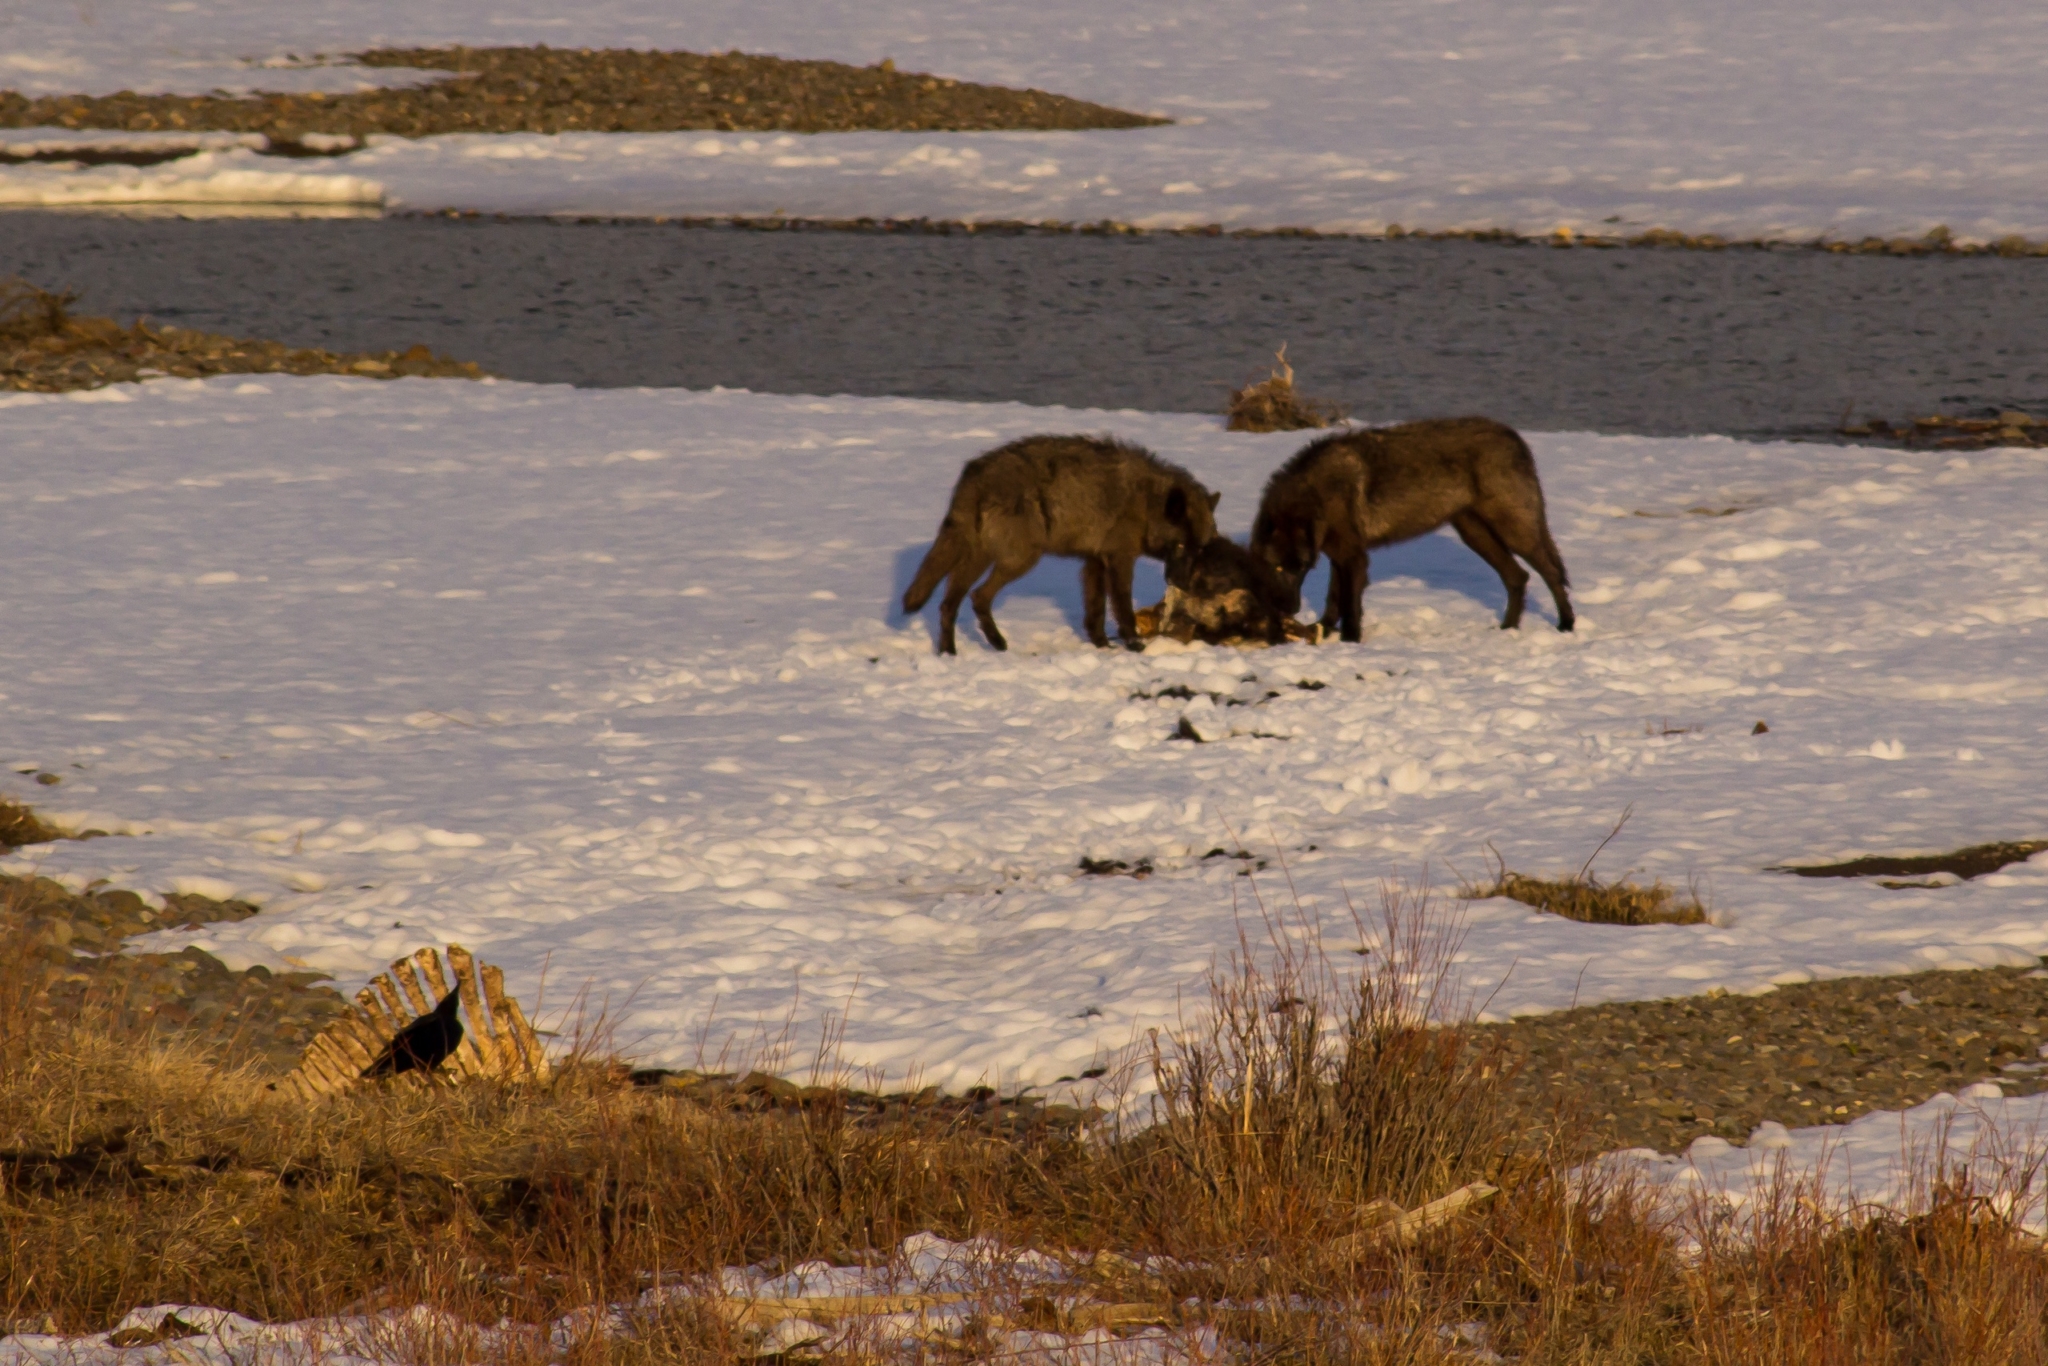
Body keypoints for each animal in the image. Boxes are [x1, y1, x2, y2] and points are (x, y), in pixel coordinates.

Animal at [901, 435, 1220, 655]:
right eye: (1180, 547)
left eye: (1199, 550)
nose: (1182, 584)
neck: (1146, 502)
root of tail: (974, 475)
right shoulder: (1120, 559)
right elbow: (1122, 606)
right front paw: (1133, 644)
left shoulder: (1094, 562)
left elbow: (1095, 610)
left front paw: (1102, 645)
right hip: (1021, 560)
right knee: (978, 596)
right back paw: (996, 642)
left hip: (982, 558)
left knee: (949, 603)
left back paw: (950, 653)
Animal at [1250, 417, 1573, 642]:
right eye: (1278, 568)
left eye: (1301, 569)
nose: (1291, 609)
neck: (1316, 494)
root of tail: (1515, 436)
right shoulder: (1339, 555)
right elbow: (1333, 598)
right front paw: (1324, 629)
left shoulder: (1354, 557)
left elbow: (1350, 605)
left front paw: (1350, 641)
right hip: (1475, 535)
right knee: (1518, 577)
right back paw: (1508, 629)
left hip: (1515, 533)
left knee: (1552, 574)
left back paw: (1566, 624)